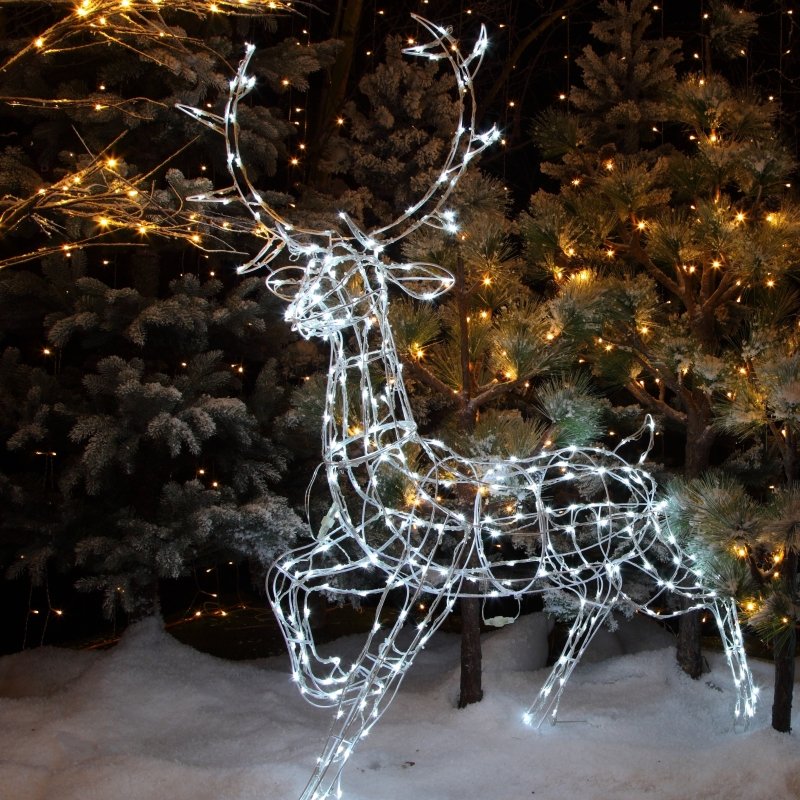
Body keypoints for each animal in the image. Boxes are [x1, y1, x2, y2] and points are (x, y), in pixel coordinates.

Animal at [180, 17, 758, 800]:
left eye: (360, 274)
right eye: (312, 269)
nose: (298, 315)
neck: (384, 461)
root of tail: (641, 466)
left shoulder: (432, 576)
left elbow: (379, 685)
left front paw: (325, 771)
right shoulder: (362, 553)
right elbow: (280, 578)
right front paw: (324, 675)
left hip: (646, 546)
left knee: (716, 587)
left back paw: (744, 715)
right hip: (594, 562)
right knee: (604, 605)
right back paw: (540, 717)